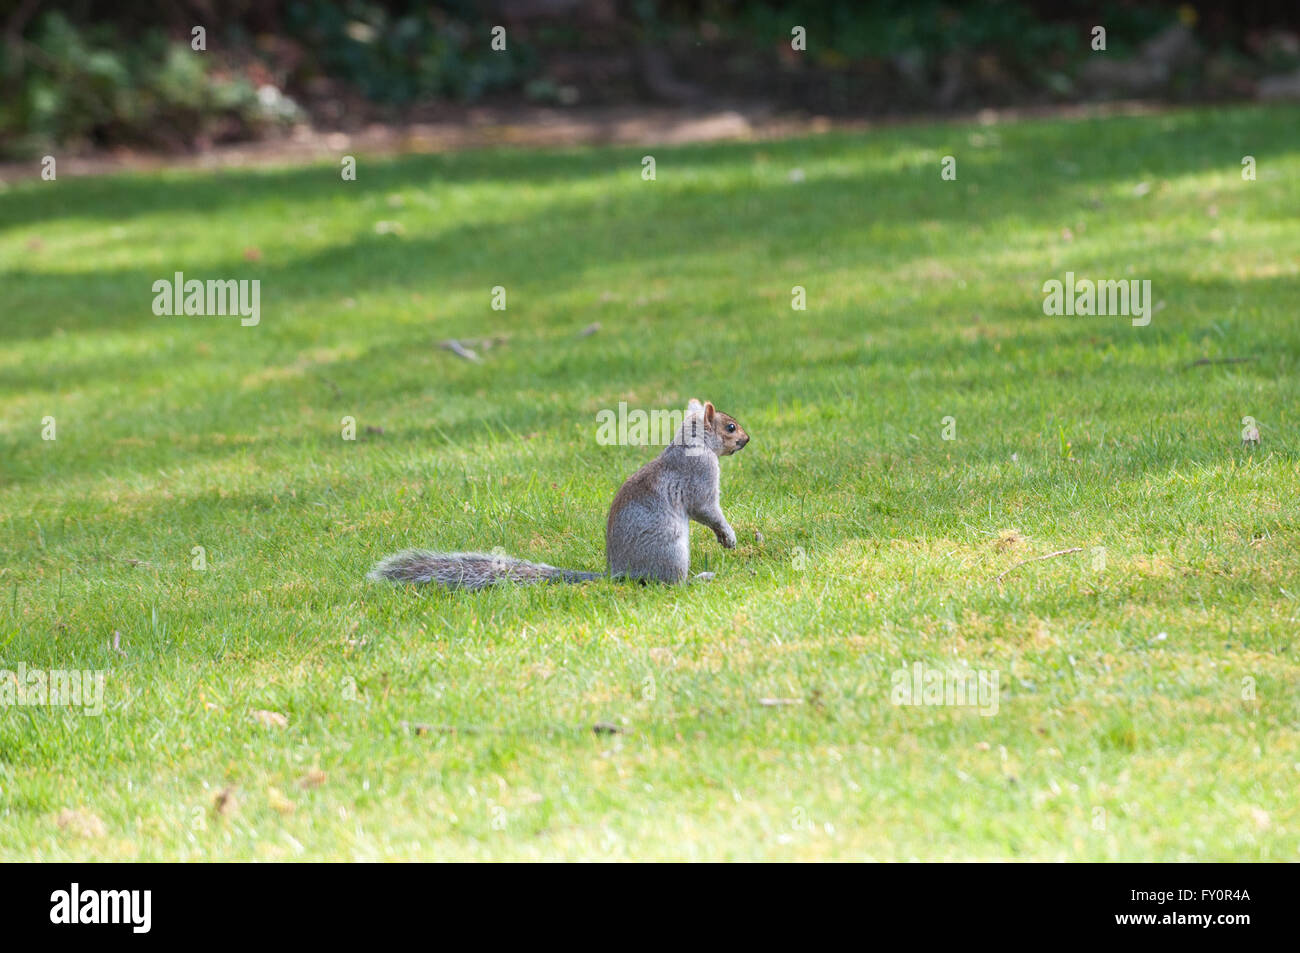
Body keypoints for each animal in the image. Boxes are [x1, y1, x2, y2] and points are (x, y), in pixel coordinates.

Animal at [368, 398, 749, 589]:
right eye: (730, 427)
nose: (747, 439)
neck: (693, 444)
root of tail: (618, 574)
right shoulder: (699, 478)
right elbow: (707, 509)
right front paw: (728, 536)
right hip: (670, 551)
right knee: (668, 584)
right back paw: (699, 580)